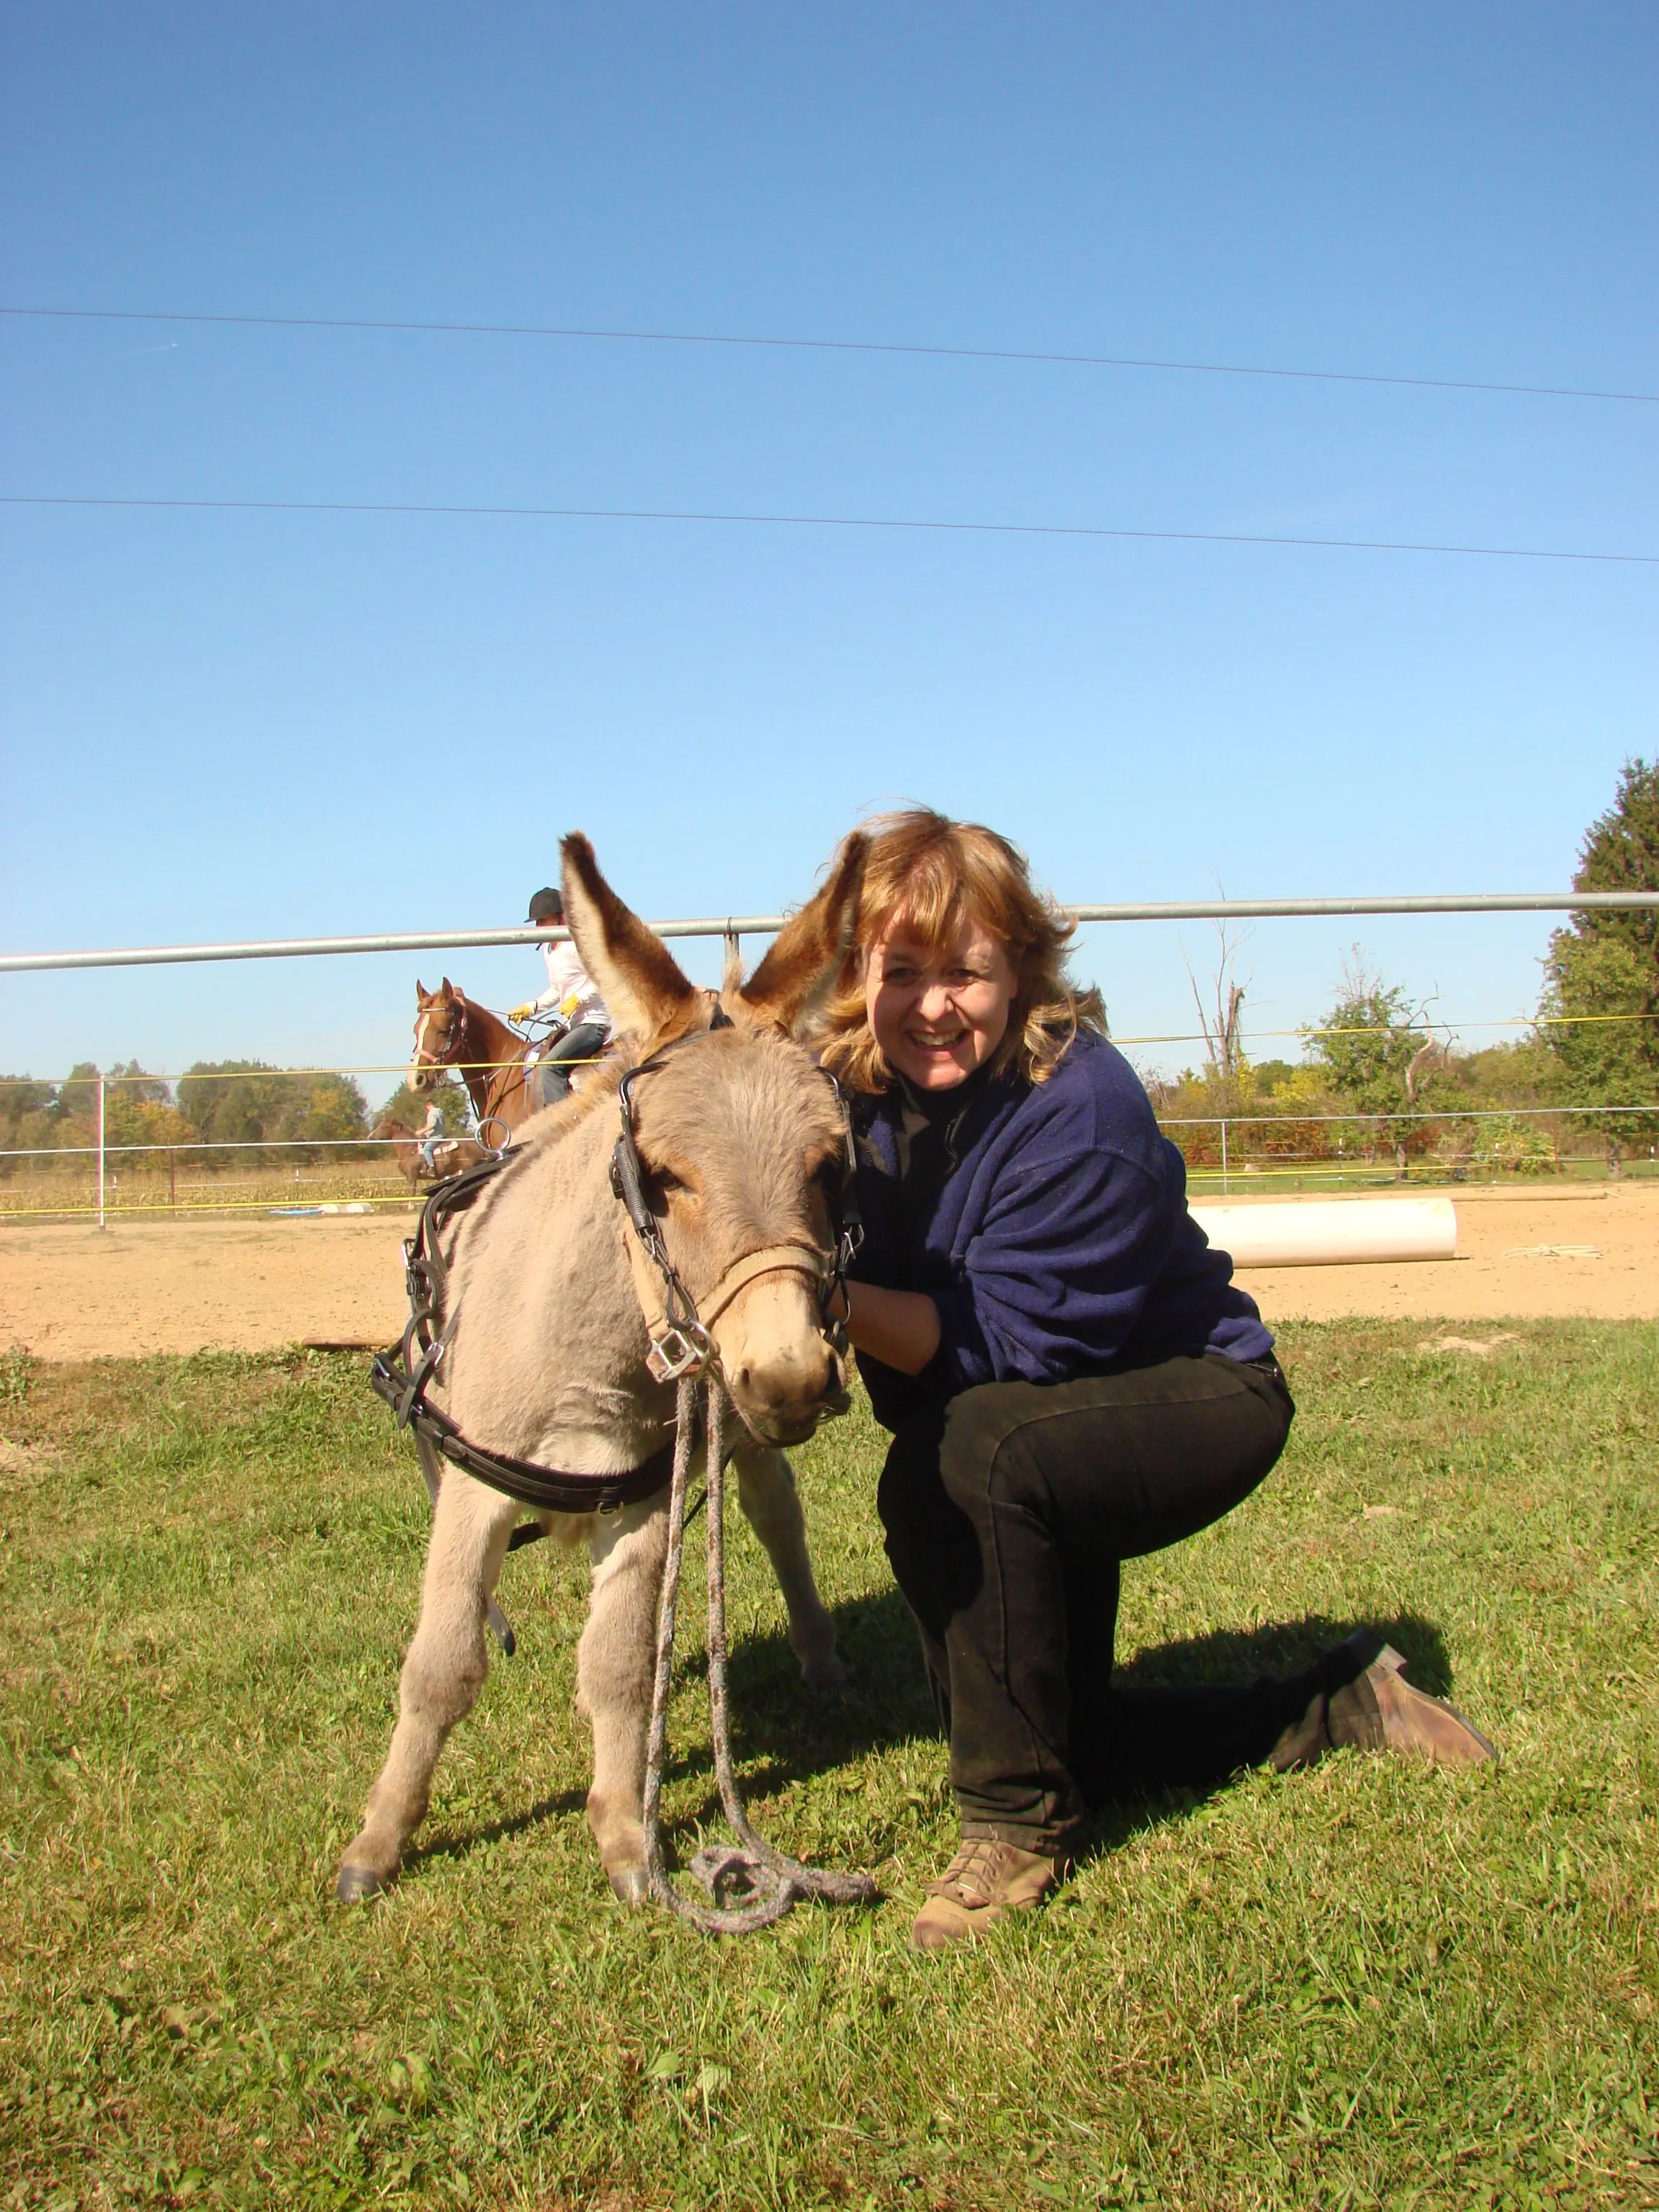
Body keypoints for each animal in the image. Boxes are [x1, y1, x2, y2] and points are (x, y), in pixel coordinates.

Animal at [338, 831, 867, 1909]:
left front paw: (628, 1838)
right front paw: (380, 1840)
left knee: (776, 1514)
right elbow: (440, 1666)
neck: (591, 1351)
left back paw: (821, 1658)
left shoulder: (646, 1498)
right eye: (660, 1177)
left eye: (832, 1165)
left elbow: (622, 1662)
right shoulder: (475, 1489)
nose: (793, 1375)